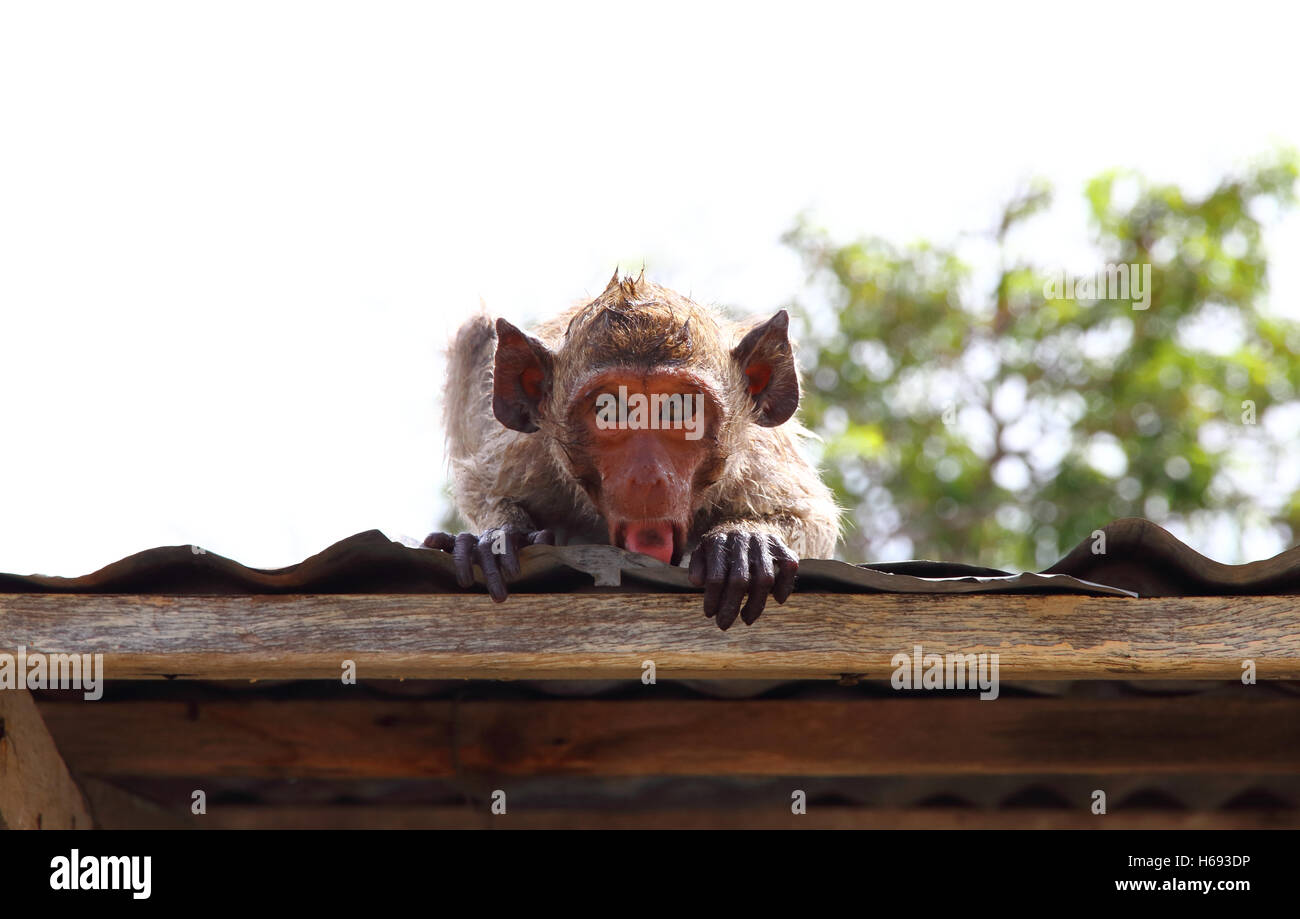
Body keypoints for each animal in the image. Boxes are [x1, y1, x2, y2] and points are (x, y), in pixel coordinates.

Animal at [424, 271, 840, 630]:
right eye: (610, 410)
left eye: (678, 409)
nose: (647, 477)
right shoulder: (527, 456)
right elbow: (481, 489)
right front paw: (498, 535)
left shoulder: (755, 457)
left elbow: (814, 518)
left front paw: (747, 541)